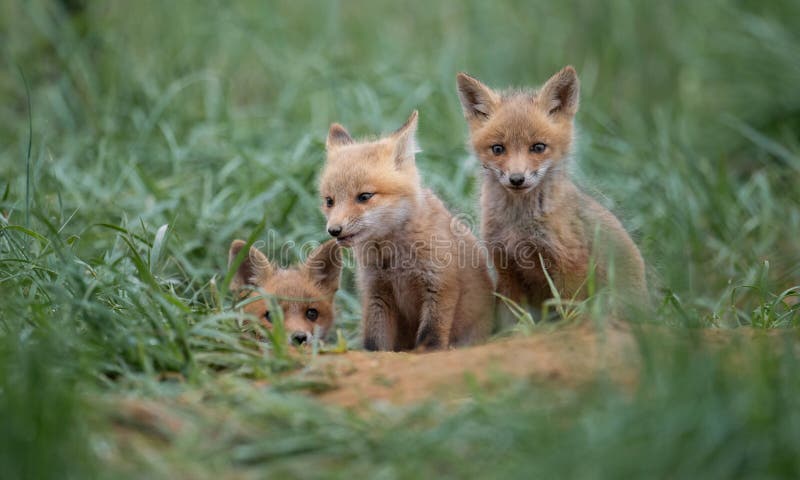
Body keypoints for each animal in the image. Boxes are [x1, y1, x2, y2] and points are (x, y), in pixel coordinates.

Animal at [319, 110, 494, 351]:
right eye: (329, 201)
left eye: (364, 196)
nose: (334, 230)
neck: (393, 259)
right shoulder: (376, 291)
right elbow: (375, 343)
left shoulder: (440, 284)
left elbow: (430, 337)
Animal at [456, 66, 647, 311]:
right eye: (498, 149)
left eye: (538, 147)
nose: (517, 179)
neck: (517, 225)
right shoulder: (505, 268)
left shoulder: (570, 266)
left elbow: (570, 312)